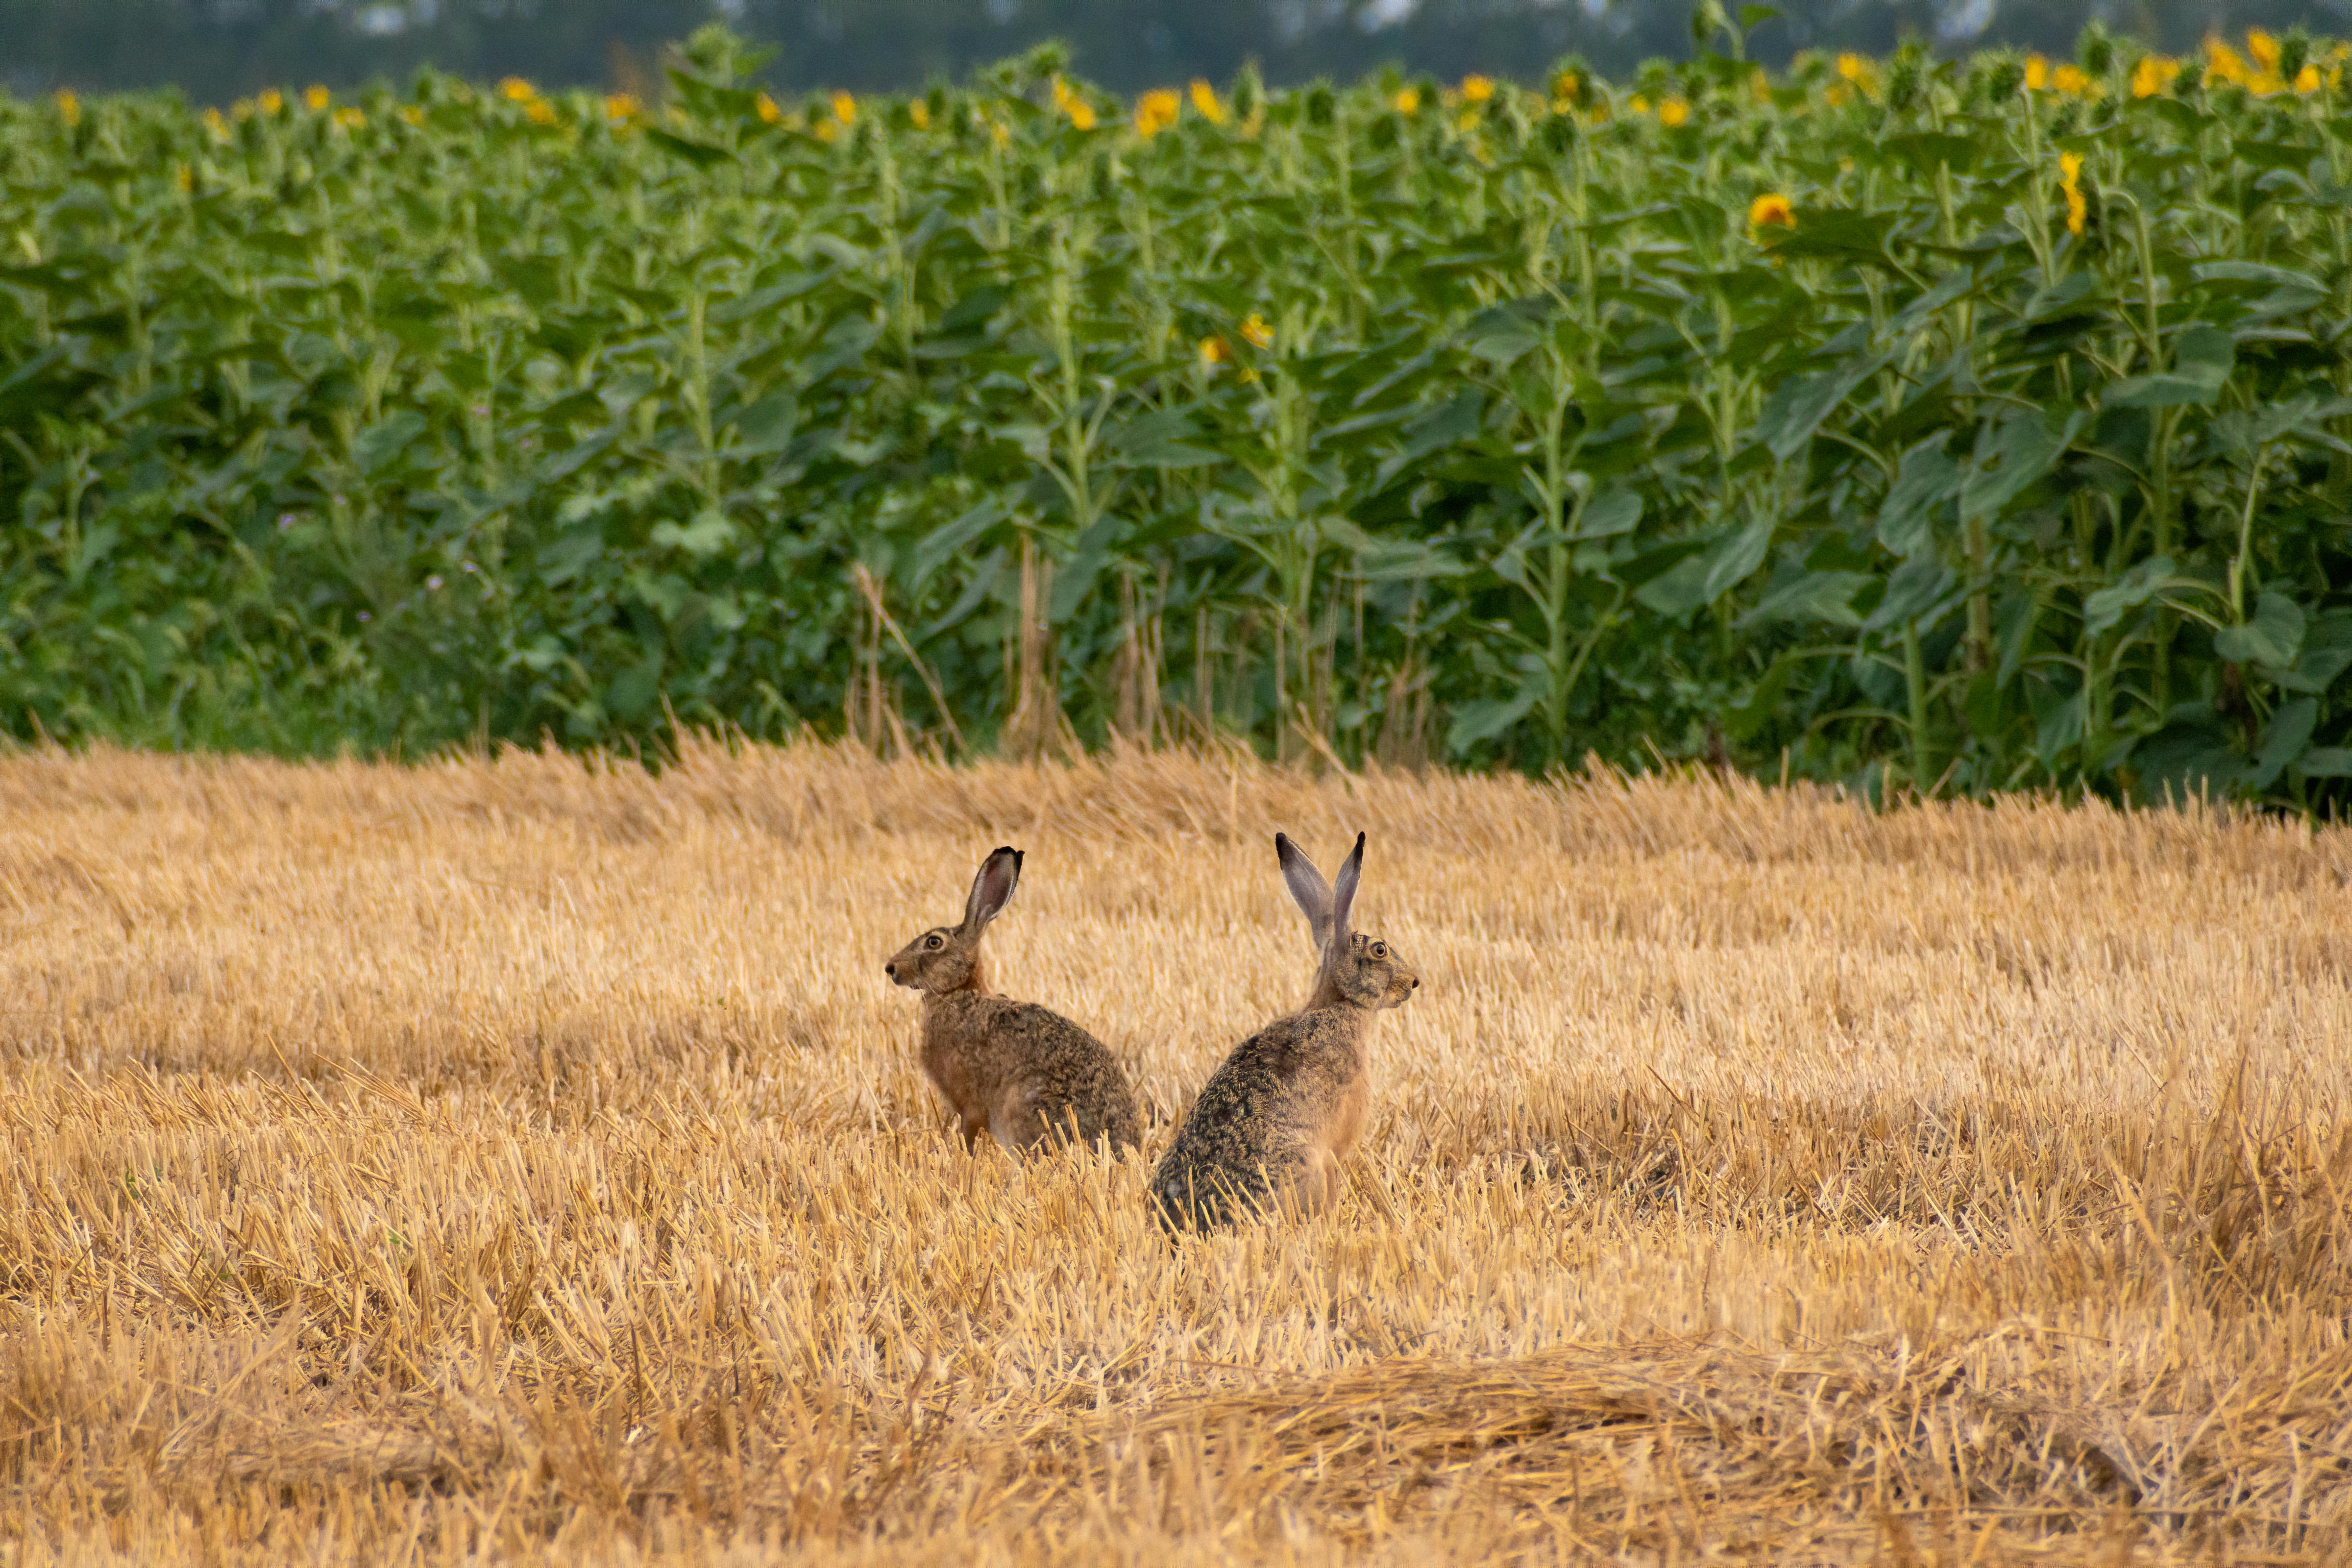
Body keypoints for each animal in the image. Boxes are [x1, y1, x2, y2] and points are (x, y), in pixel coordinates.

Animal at [884, 846, 1141, 1156]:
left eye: (934, 942)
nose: (891, 968)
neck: (959, 993)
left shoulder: (970, 1104)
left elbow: (968, 1136)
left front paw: (961, 1158)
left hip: (1021, 1105)